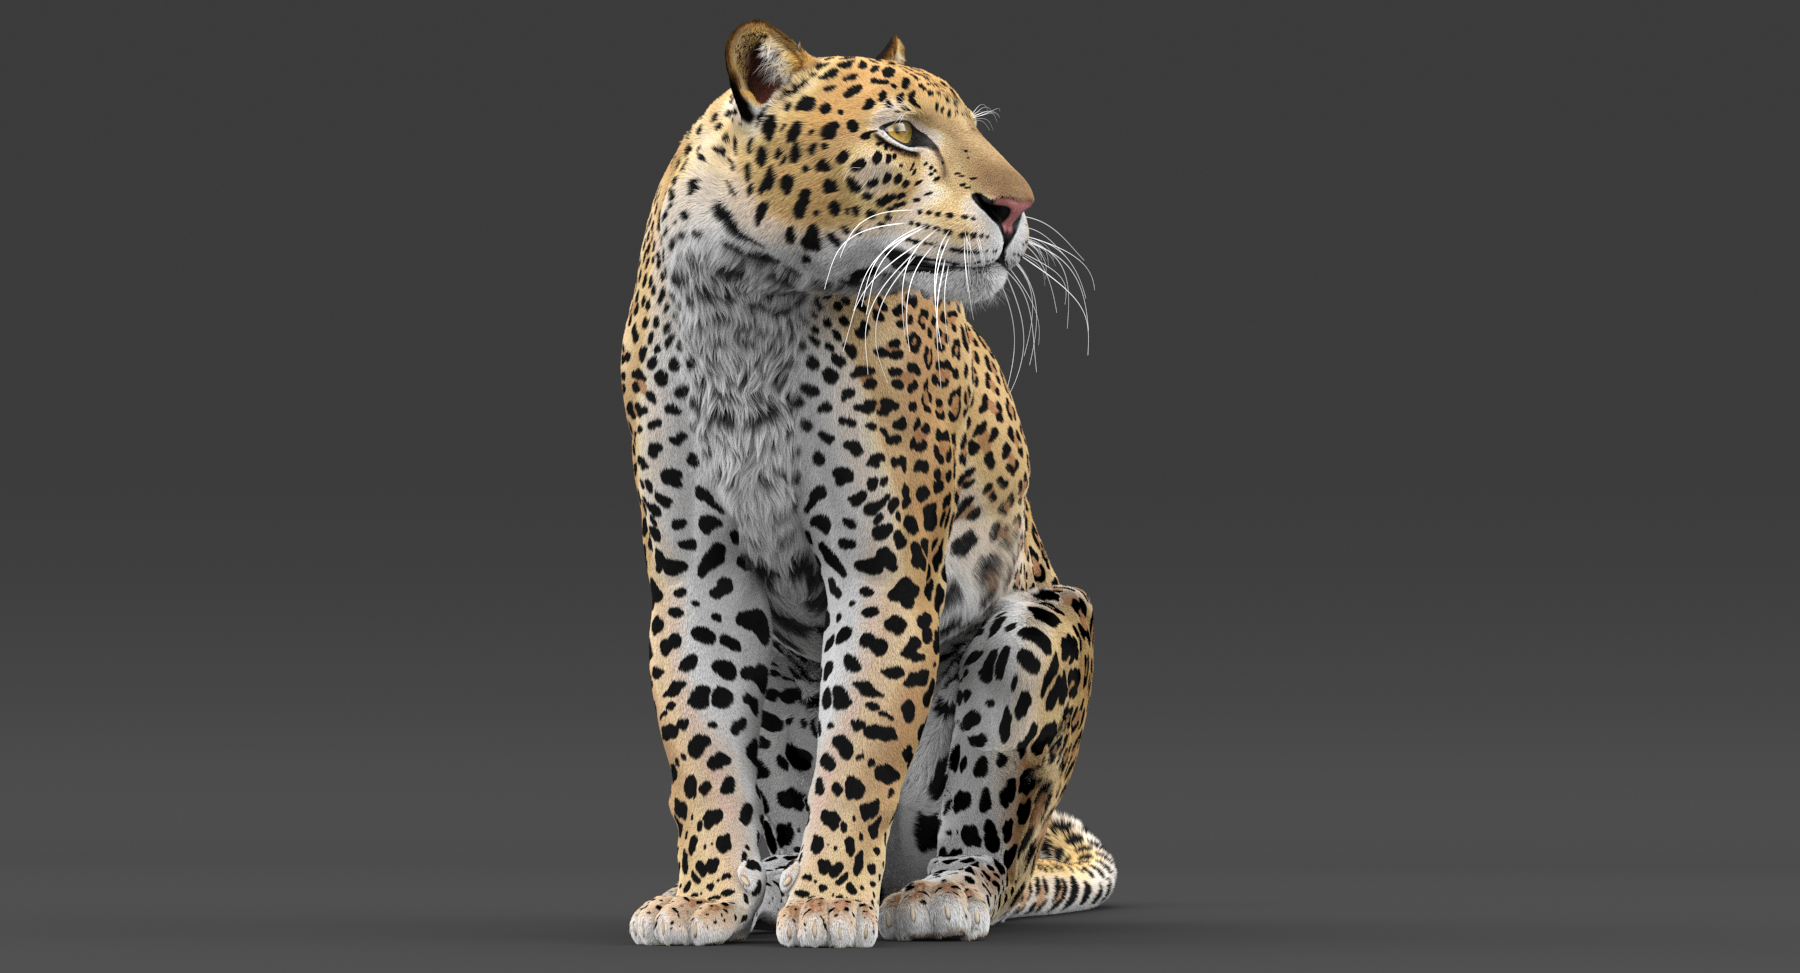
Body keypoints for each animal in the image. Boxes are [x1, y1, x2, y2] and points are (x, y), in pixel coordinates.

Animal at [622, 21, 1113, 948]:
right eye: (902, 134)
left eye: (972, 130)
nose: (1016, 207)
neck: (754, 303)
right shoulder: (695, 573)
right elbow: (702, 743)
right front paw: (707, 896)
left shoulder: (882, 565)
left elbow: (862, 739)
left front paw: (829, 900)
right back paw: (773, 875)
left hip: (1044, 620)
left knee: (992, 846)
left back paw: (938, 891)